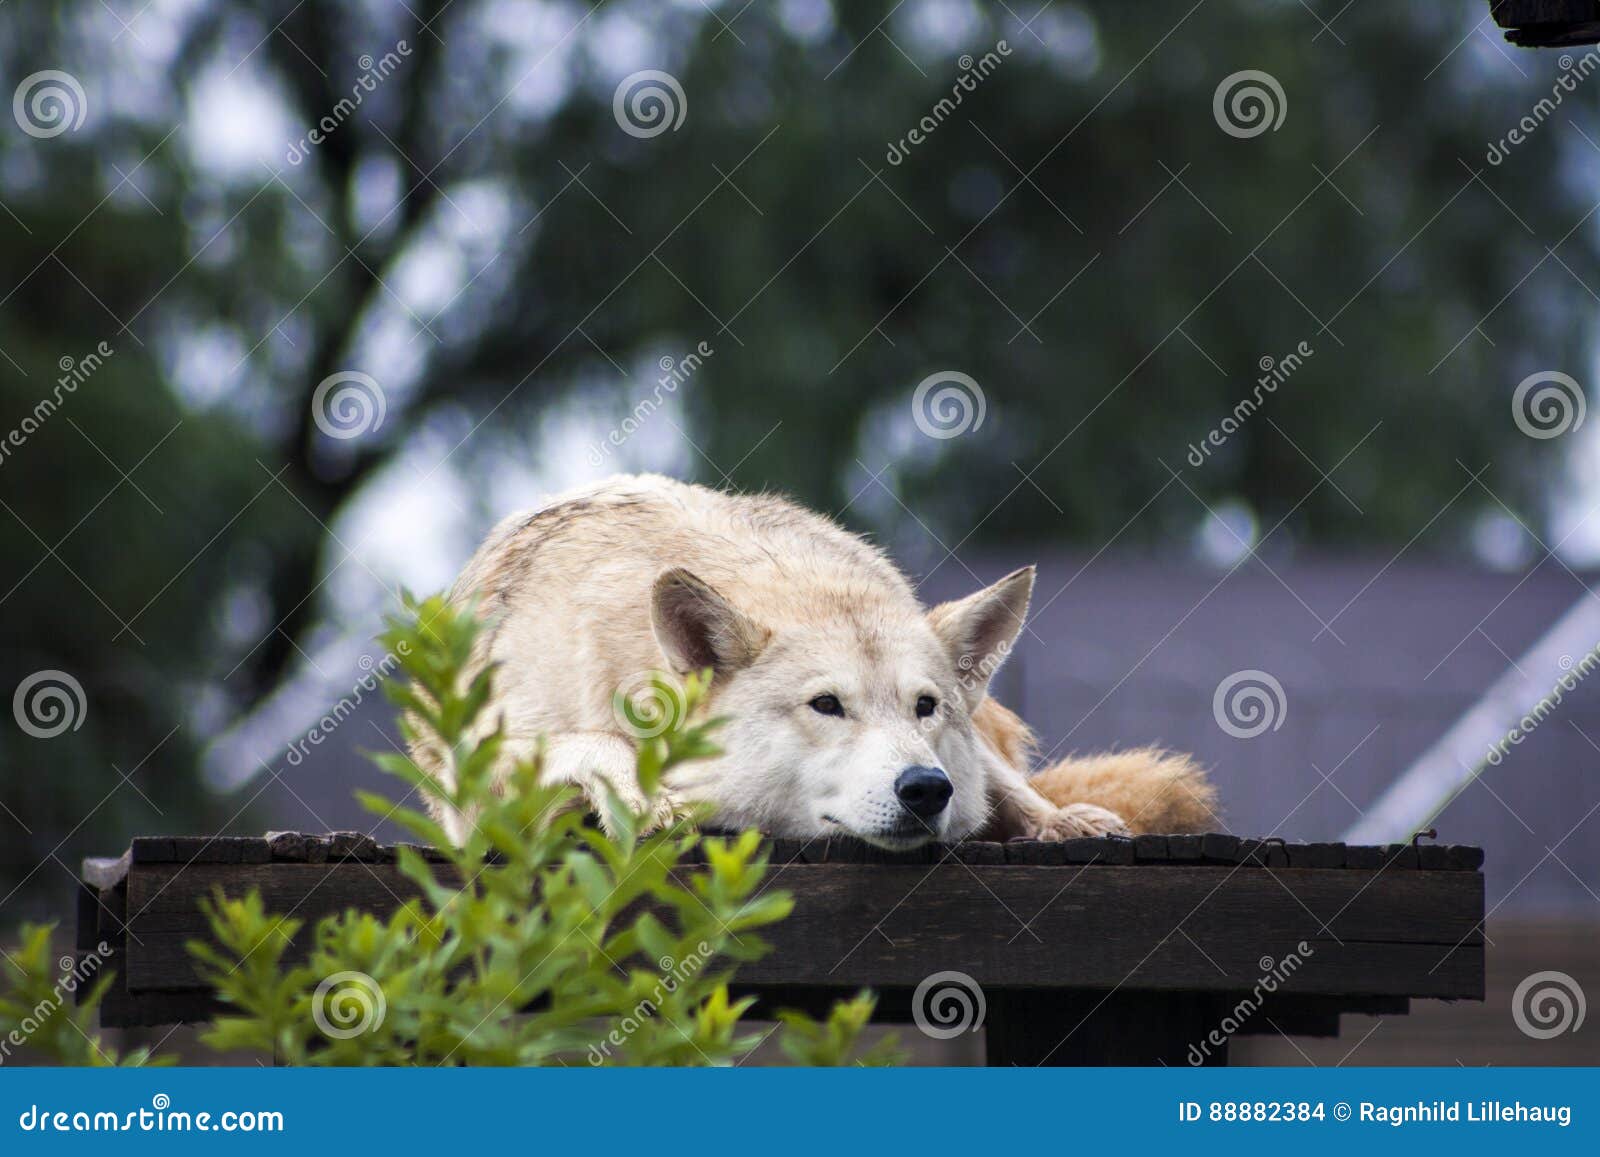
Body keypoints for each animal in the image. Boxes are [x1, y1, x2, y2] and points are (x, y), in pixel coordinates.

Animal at [419, 474, 1215, 848]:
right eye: (826, 706)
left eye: (925, 708)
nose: (924, 788)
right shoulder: (486, 777)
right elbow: (585, 745)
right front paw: (651, 799)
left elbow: (1001, 789)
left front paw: (1061, 821)